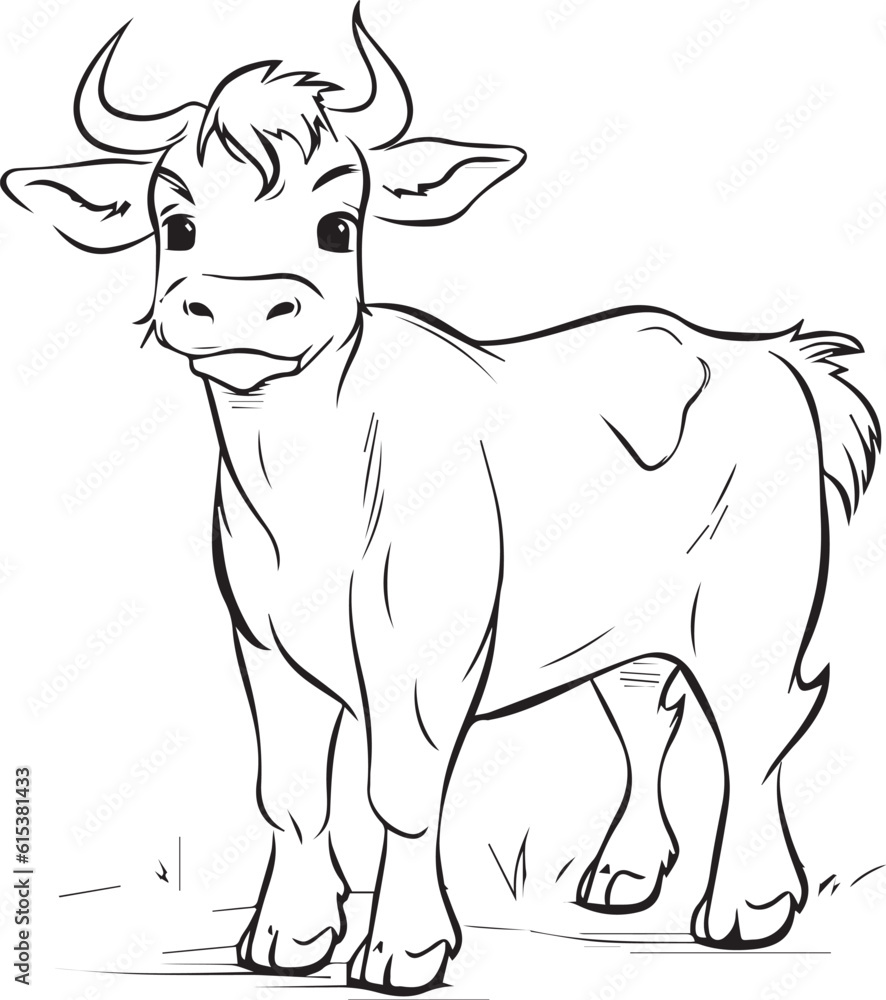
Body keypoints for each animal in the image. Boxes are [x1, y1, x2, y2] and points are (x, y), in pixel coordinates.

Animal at [3, 6, 879, 994]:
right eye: (177, 223)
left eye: (338, 224)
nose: (239, 310)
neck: (308, 482)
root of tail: (770, 352)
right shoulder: (261, 643)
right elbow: (289, 792)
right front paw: (289, 936)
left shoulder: (423, 655)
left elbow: (403, 793)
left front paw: (403, 947)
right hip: (624, 623)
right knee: (646, 717)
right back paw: (622, 873)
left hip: (750, 608)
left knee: (761, 727)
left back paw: (746, 906)